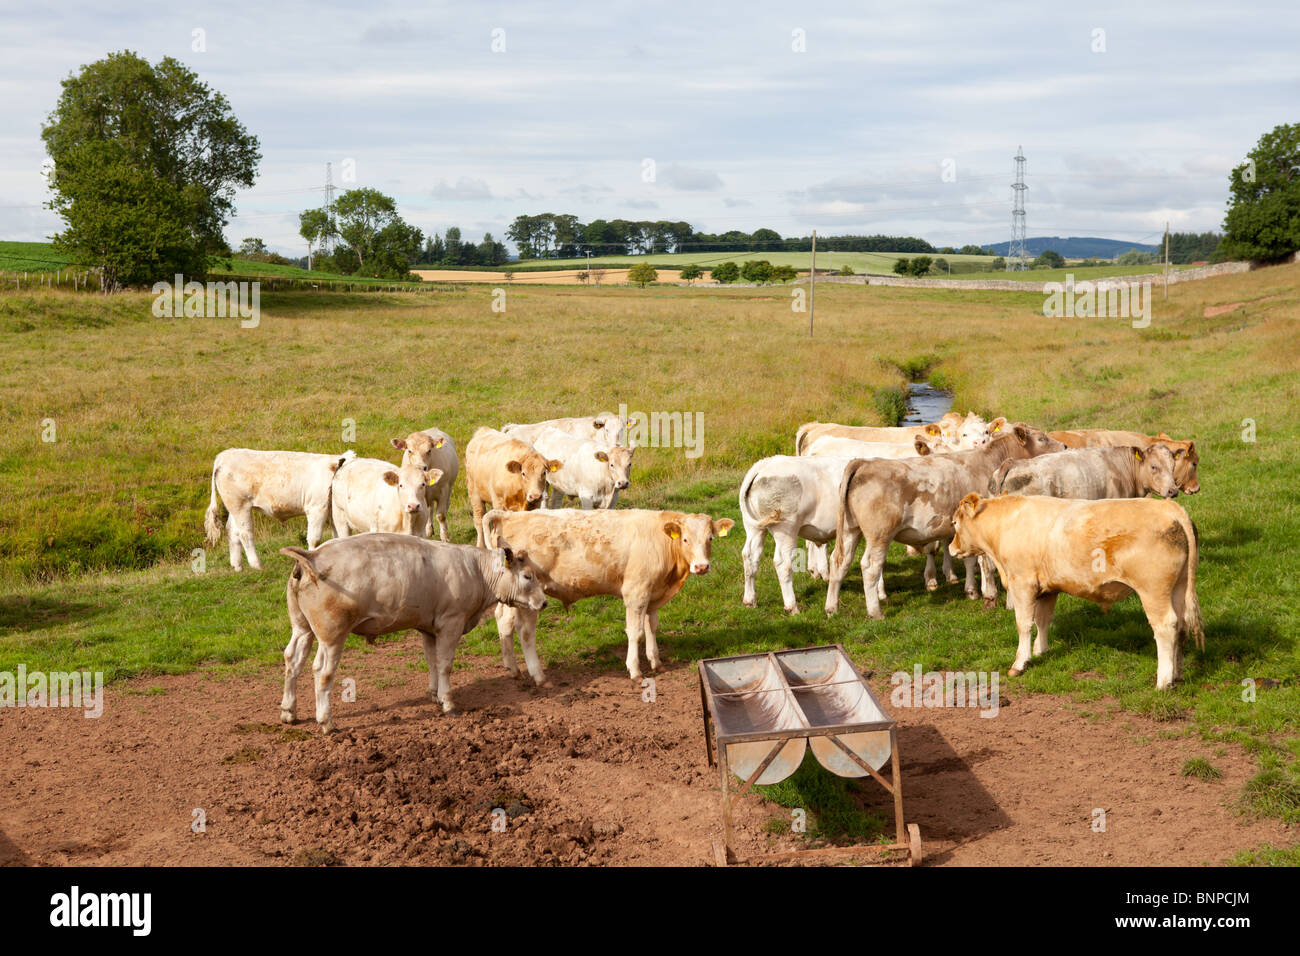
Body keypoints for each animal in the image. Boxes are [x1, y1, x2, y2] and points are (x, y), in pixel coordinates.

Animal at [204, 448, 355, 571]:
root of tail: (224, 455)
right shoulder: (316, 507)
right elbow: (315, 539)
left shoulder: (332, 513)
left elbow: (338, 537)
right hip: (240, 505)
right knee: (245, 534)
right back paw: (257, 565)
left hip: (235, 507)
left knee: (232, 531)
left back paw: (237, 566)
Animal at [278, 535, 547, 731]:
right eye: (527, 576)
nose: (544, 602)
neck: (475, 570)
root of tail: (312, 555)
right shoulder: (451, 623)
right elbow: (445, 664)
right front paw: (448, 703)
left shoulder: (428, 628)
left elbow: (432, 661)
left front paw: (435, 694)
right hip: (332, 636)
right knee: (322, 672)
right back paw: (326, 721)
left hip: (302, 627)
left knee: (293, 660)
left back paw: (289, 711)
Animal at [482, 508, 733, 682]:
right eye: (685, 539)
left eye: (710, 538)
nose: (701, 566)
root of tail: (509, 514)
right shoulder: (635, 592)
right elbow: (635, 632)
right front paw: (635, 670)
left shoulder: (653, 593)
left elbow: (651, 626)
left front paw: (656, 661)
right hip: (529, 598)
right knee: (525, 632)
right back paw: (538, 676)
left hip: (513, 599)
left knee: (503, 621)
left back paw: (513, 669)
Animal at [824, 424, 1066, 618]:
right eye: (1042, 438)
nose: (1064, 446)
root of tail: (863, 463)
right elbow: (982, 562)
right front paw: (987, 594)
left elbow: (969, 560)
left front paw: (971, 590)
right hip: (879, 535)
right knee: (870, 567)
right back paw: (875, 612)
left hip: (850, 529)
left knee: (839, 561)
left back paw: (831, 608)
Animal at [948, 493, 1204, 689]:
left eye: (955, 523)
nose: (951, 547)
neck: (1008, 522)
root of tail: (1169, 507)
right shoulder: (1047, 589)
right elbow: (1043, 620)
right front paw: (1041, 651)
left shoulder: (1023, 583)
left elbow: (1024, 624)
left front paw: (1020, 663)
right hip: (1178, 587)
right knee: (1181, 625)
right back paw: (1178, 675)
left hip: (1154, 592)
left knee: (1166, 627)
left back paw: (1163, 681)